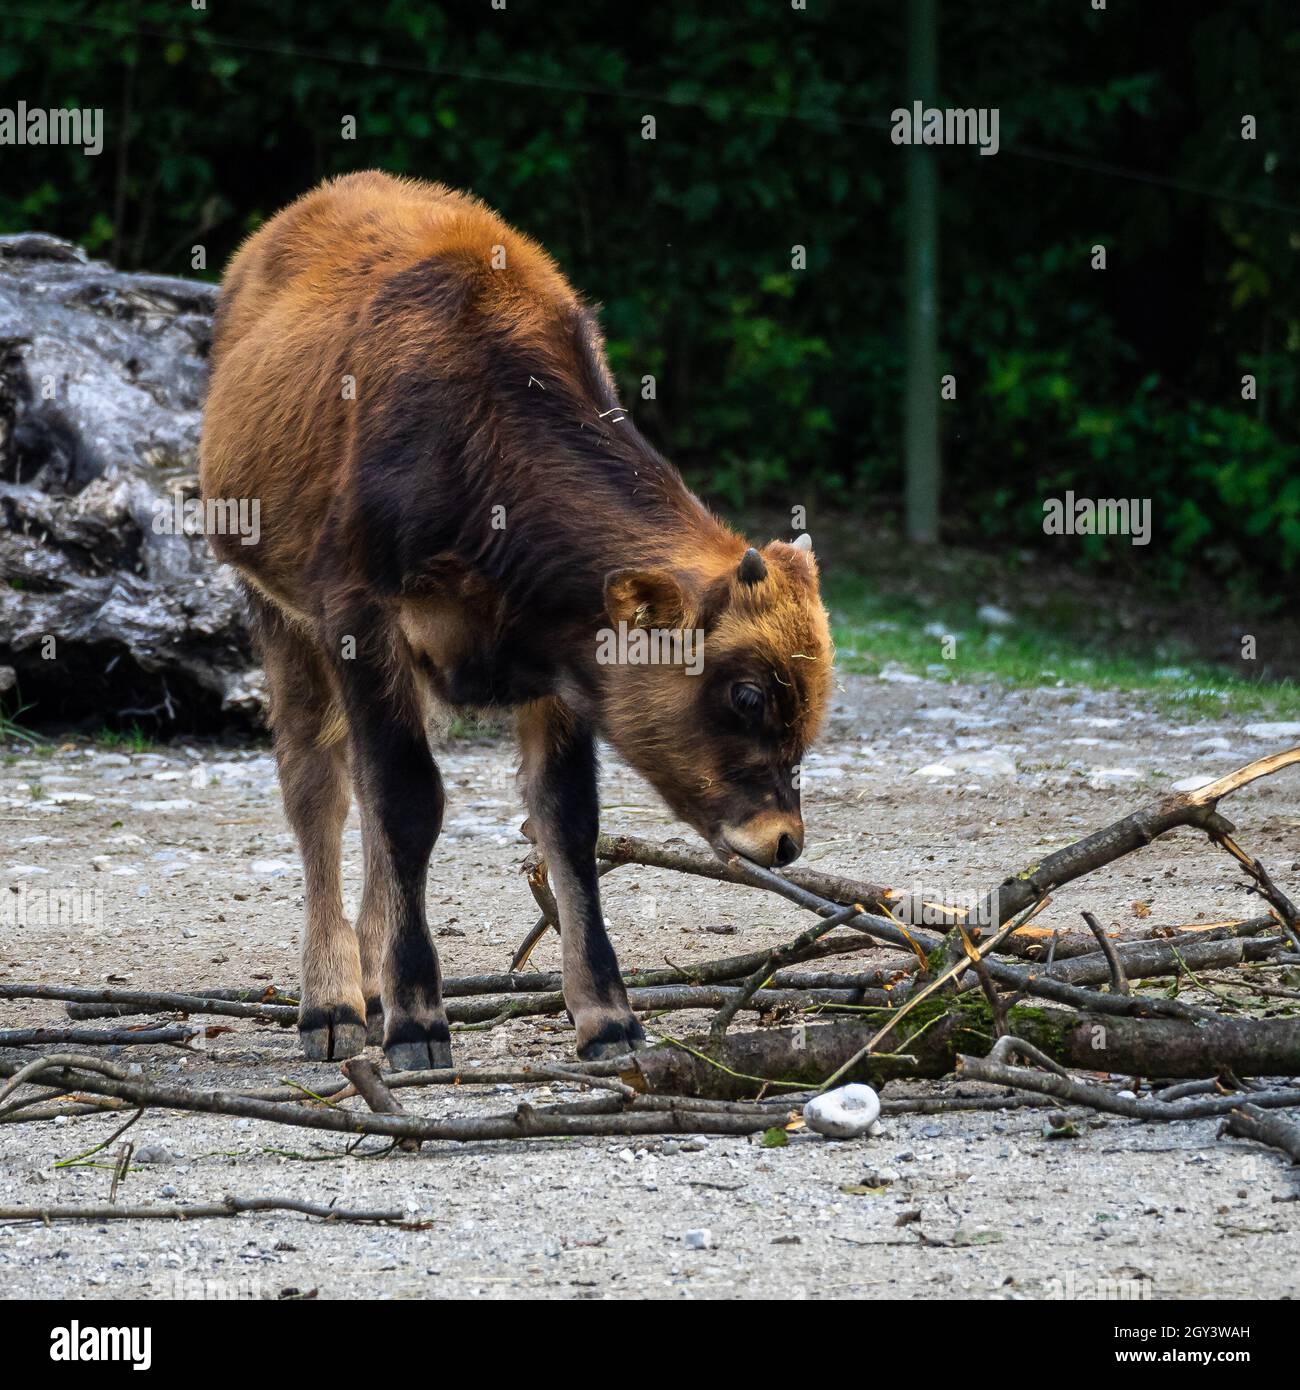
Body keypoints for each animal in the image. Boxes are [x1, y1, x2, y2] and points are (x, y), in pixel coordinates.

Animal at [199, 171, 833, 1068]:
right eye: (744, 694)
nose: (782, 840)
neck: (482, 429)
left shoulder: (557, 660)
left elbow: (566, 822)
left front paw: (607, 1016)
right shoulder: (363, 618)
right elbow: (405, 803)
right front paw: (418, 1022)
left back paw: (368, 983)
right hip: (278, 613)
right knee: (318, 786)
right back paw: (333, 1005)